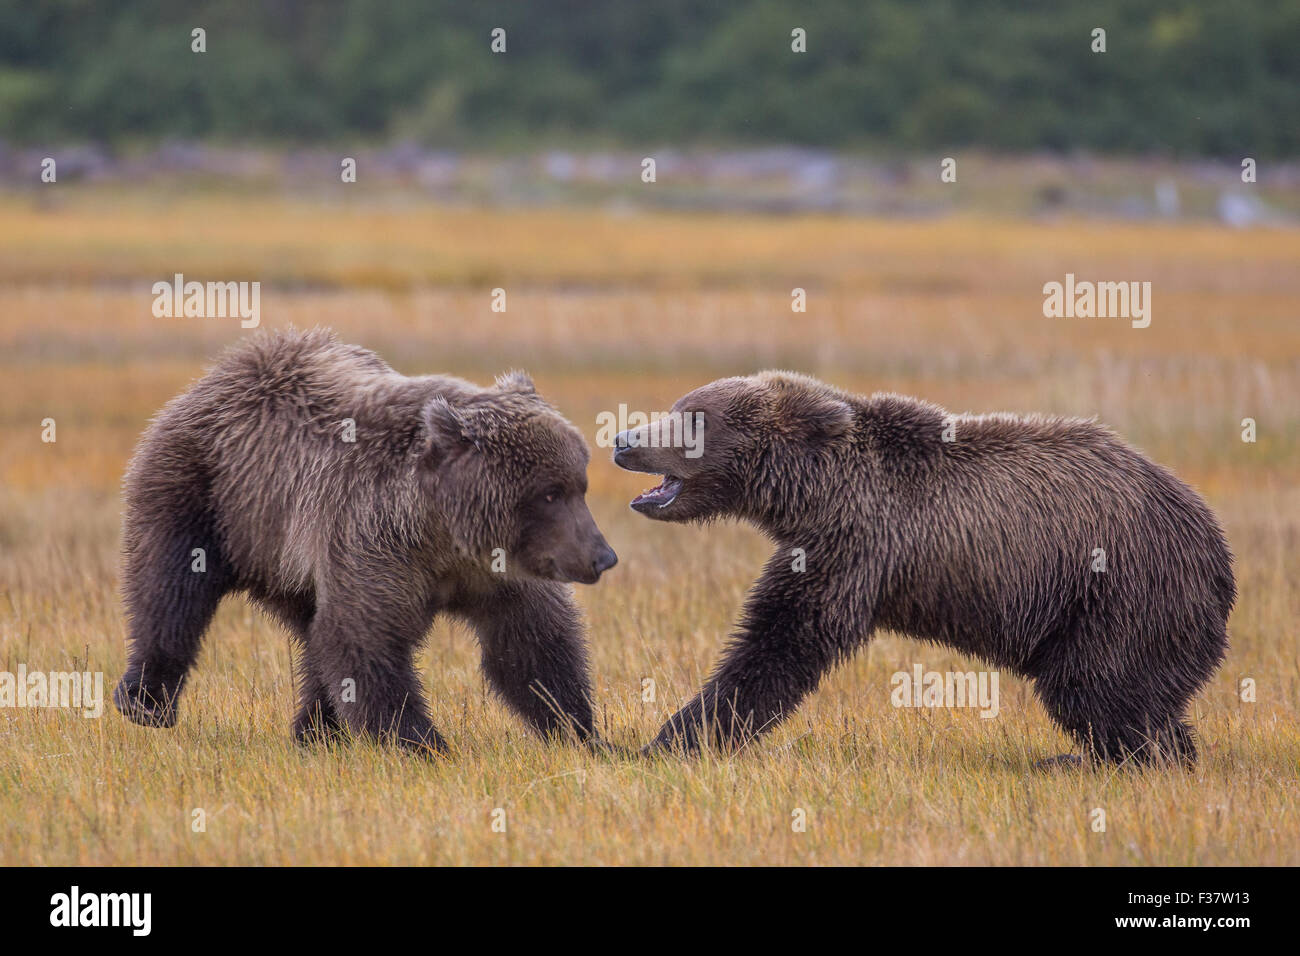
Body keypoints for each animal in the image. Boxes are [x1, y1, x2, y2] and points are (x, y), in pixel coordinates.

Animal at [113, 328, 618, 755]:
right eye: (549, 492)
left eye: (579, 483)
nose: (602, 556)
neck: (440, 532)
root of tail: (214, 377)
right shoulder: (374, 541)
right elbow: (362, 639)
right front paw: (424, 745)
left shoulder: (497, 568)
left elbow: (532, 640)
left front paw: (583, 732)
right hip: (207, 494)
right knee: (171, 590)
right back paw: (145, 701)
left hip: (285, 556)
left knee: (309, 633)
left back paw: (315, 731)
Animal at [614, 371, 1235, 767]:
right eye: (677, 409)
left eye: (694, 420)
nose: (623, 438)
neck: (812, 492)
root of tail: (1216, 548)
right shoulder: (824, 543)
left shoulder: (856, 546)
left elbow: (783, 639)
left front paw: (672, 741)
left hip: (1120, 592)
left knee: (1097, 686)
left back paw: (1108, 759)